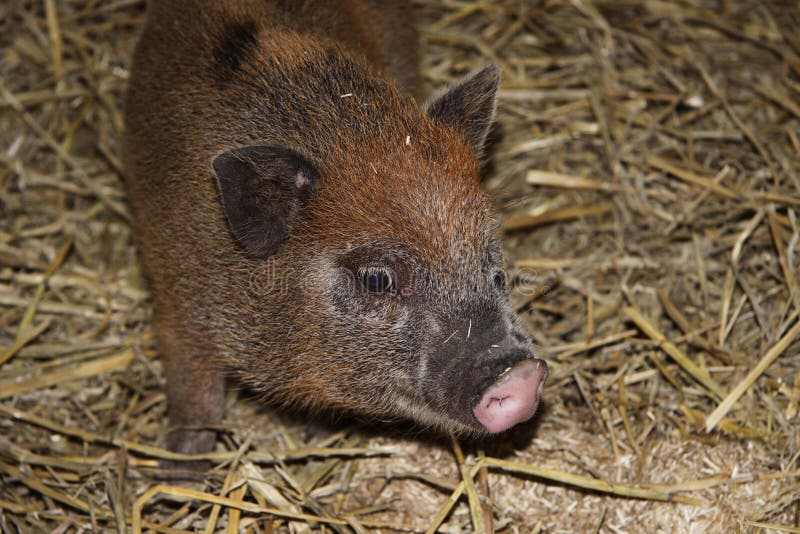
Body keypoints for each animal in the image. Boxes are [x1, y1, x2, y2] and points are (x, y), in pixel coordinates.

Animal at [123, 0, 548, 462]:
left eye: (493, 265)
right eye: (376, 279)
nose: (521, 373)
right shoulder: (176, 303)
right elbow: (195, 400)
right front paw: (179, 465)